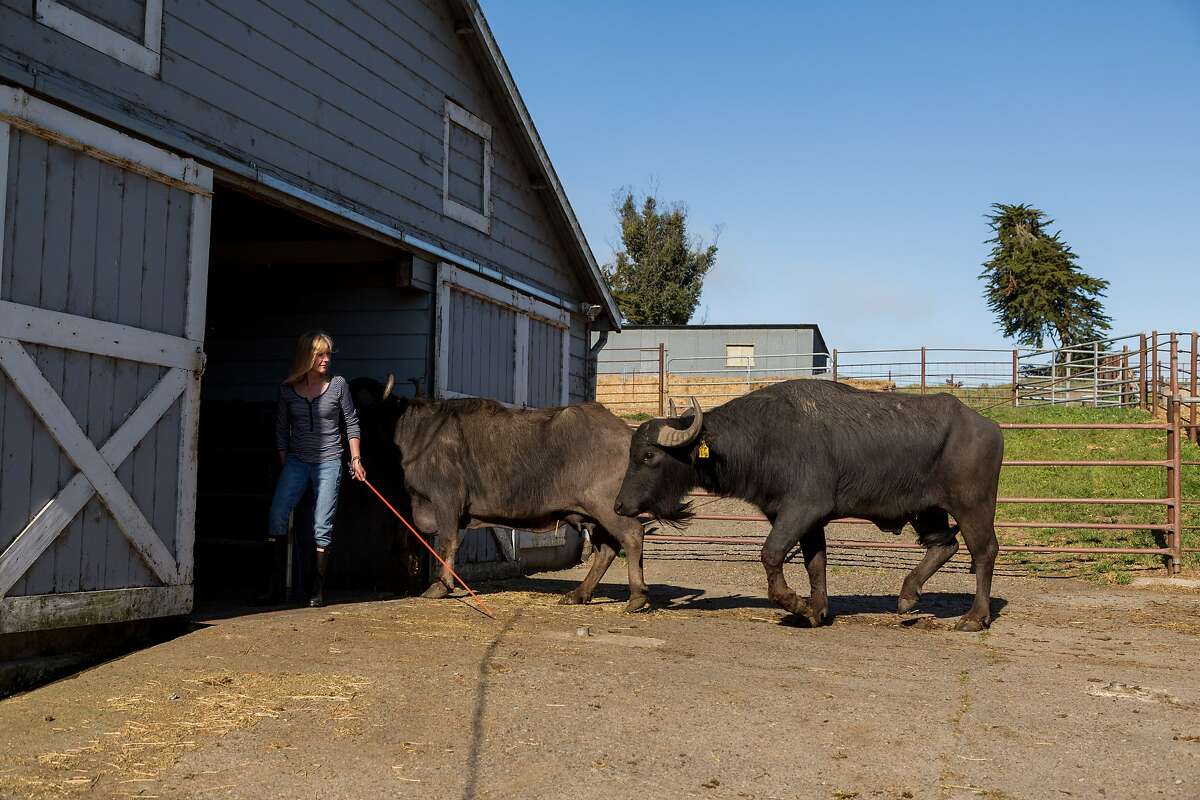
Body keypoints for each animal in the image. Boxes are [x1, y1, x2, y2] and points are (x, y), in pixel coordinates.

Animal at [351, 376, 652, 611]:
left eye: (360, 408)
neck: (416, 434)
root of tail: (626, 435)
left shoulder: (446, 501)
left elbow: (447, 542)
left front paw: (440, 586)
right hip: (591, 516)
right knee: (606, 550)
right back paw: (578, 594)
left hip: (607, 507)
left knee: (632, 535)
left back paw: (637, 597)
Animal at [614, 380, 1003, 631]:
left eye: (648, 456)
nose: (619, 506)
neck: (764, 436)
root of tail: (989, 426)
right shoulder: (808, 519)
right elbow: (815, 562)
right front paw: (817, 610)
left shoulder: (802, 508)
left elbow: (771, 554)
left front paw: (796, 603)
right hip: (927, 510)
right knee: (944, 545)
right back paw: (907, 597)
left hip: (973, 506)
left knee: (984, 551)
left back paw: (974, 617)